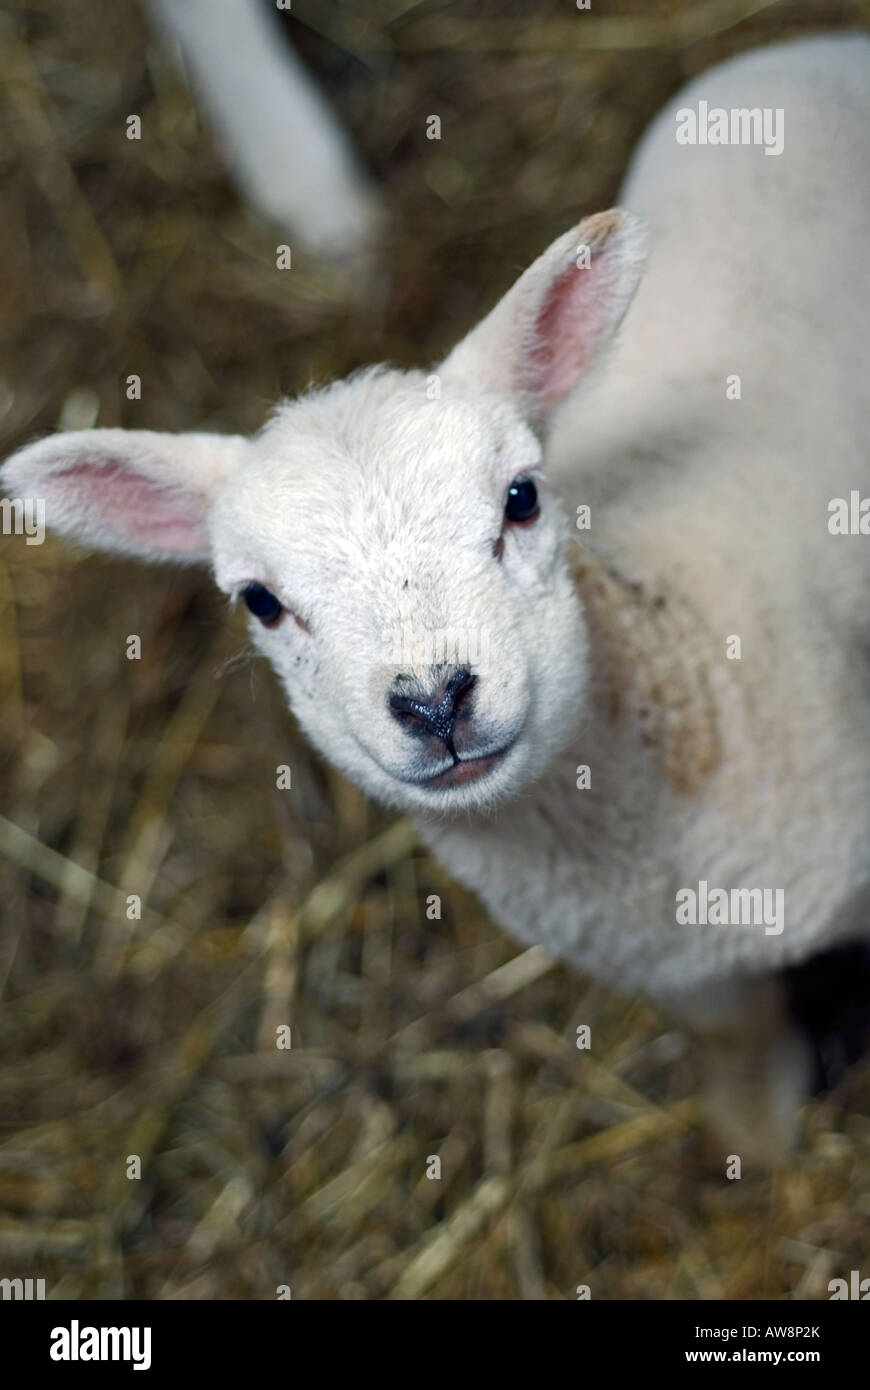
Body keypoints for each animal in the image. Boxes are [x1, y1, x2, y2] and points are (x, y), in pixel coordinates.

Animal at [5, 33, 870, 1165]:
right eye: (261, 601)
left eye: (522, 497)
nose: (433, 700)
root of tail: (805, 49)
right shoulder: (694, 974)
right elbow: (745, 1054)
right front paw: (761, 1156)